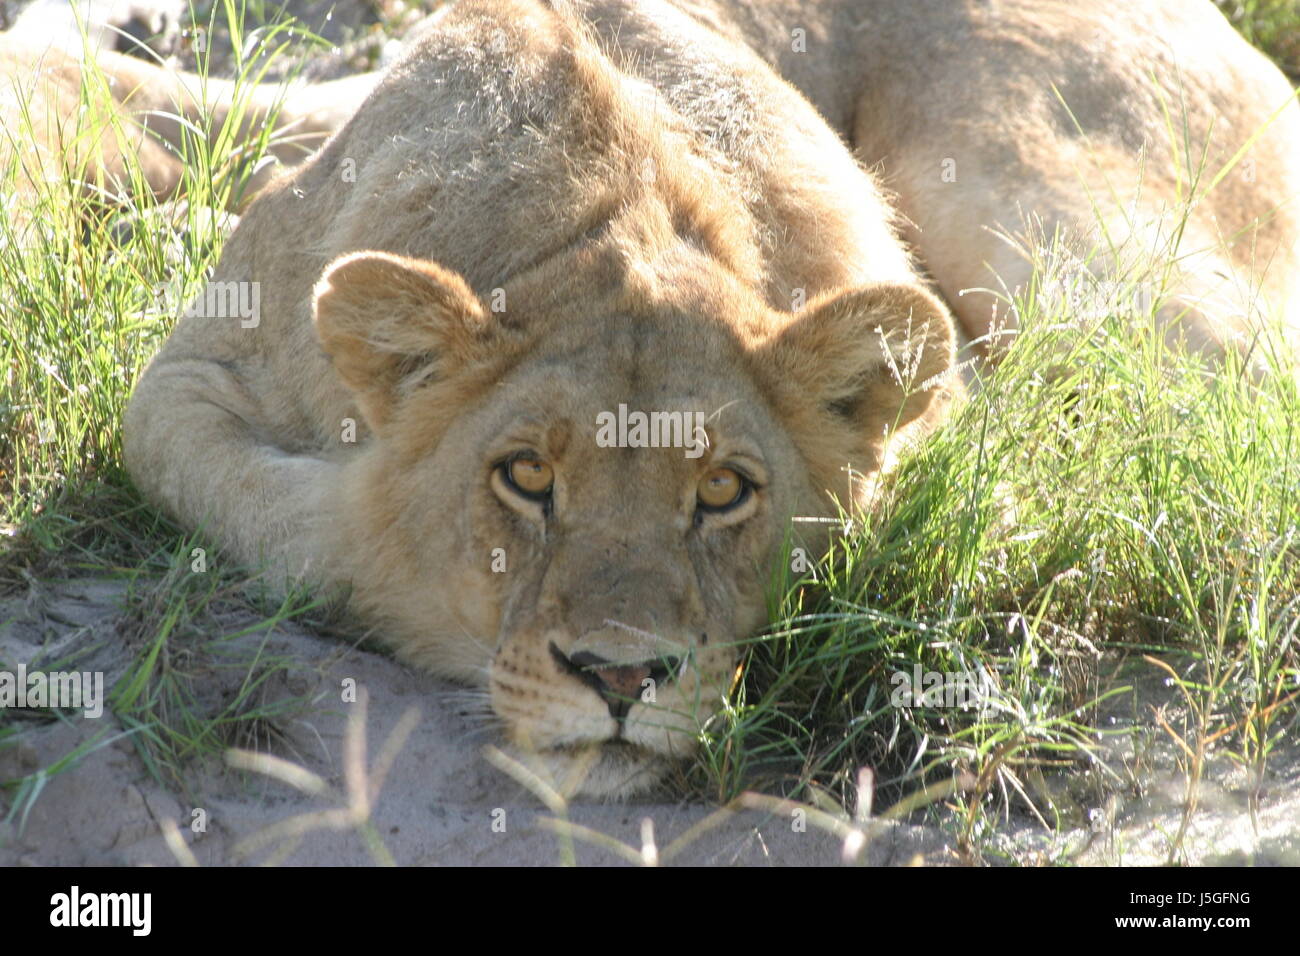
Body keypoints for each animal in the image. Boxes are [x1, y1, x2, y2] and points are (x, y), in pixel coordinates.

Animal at [122, 0, 1300, 797]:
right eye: (525, 476)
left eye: (725, 490)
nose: (619, 679)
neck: (611, 211)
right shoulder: (190, 371)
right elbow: (288, 518)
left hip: (1053, 214)